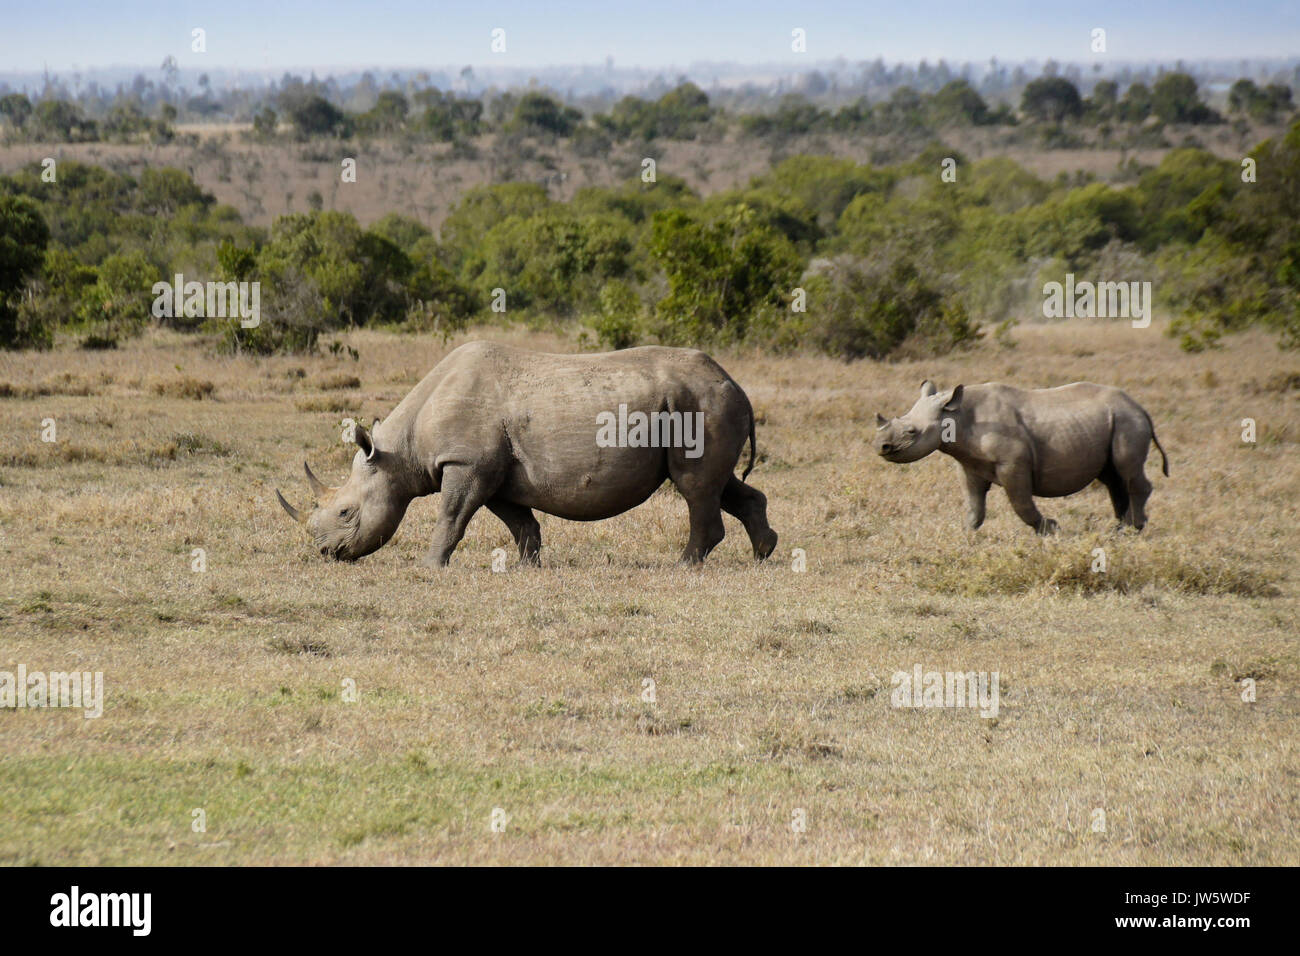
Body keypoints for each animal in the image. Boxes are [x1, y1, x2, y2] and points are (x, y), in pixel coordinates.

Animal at [277, 341, 778, 566]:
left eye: (345, 512)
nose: (327, 553)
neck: (401, 450)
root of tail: (736, 384)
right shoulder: (492, 471)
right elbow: (519, 521)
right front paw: (527, 565)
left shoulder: (466, 463)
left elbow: (451, 517)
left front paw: (431, 566)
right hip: (704, 403)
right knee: (719, 486)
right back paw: (763, 554)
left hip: (699, 405)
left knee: (694, 487)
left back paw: (684, 565)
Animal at [873, 380, 1169, 534]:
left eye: (912, 431)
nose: (881, 446)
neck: (955, 416)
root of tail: (1141, 408)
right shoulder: (969, 465)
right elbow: (974, 505)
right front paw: (966, 534)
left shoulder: (1013, 463)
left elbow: (1020, 503)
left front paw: (1050, 529)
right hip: (1116, 420)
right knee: (1113, 477)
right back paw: (1119, 528)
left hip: (1128, 421)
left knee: (1126, 471)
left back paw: (1134, 528)